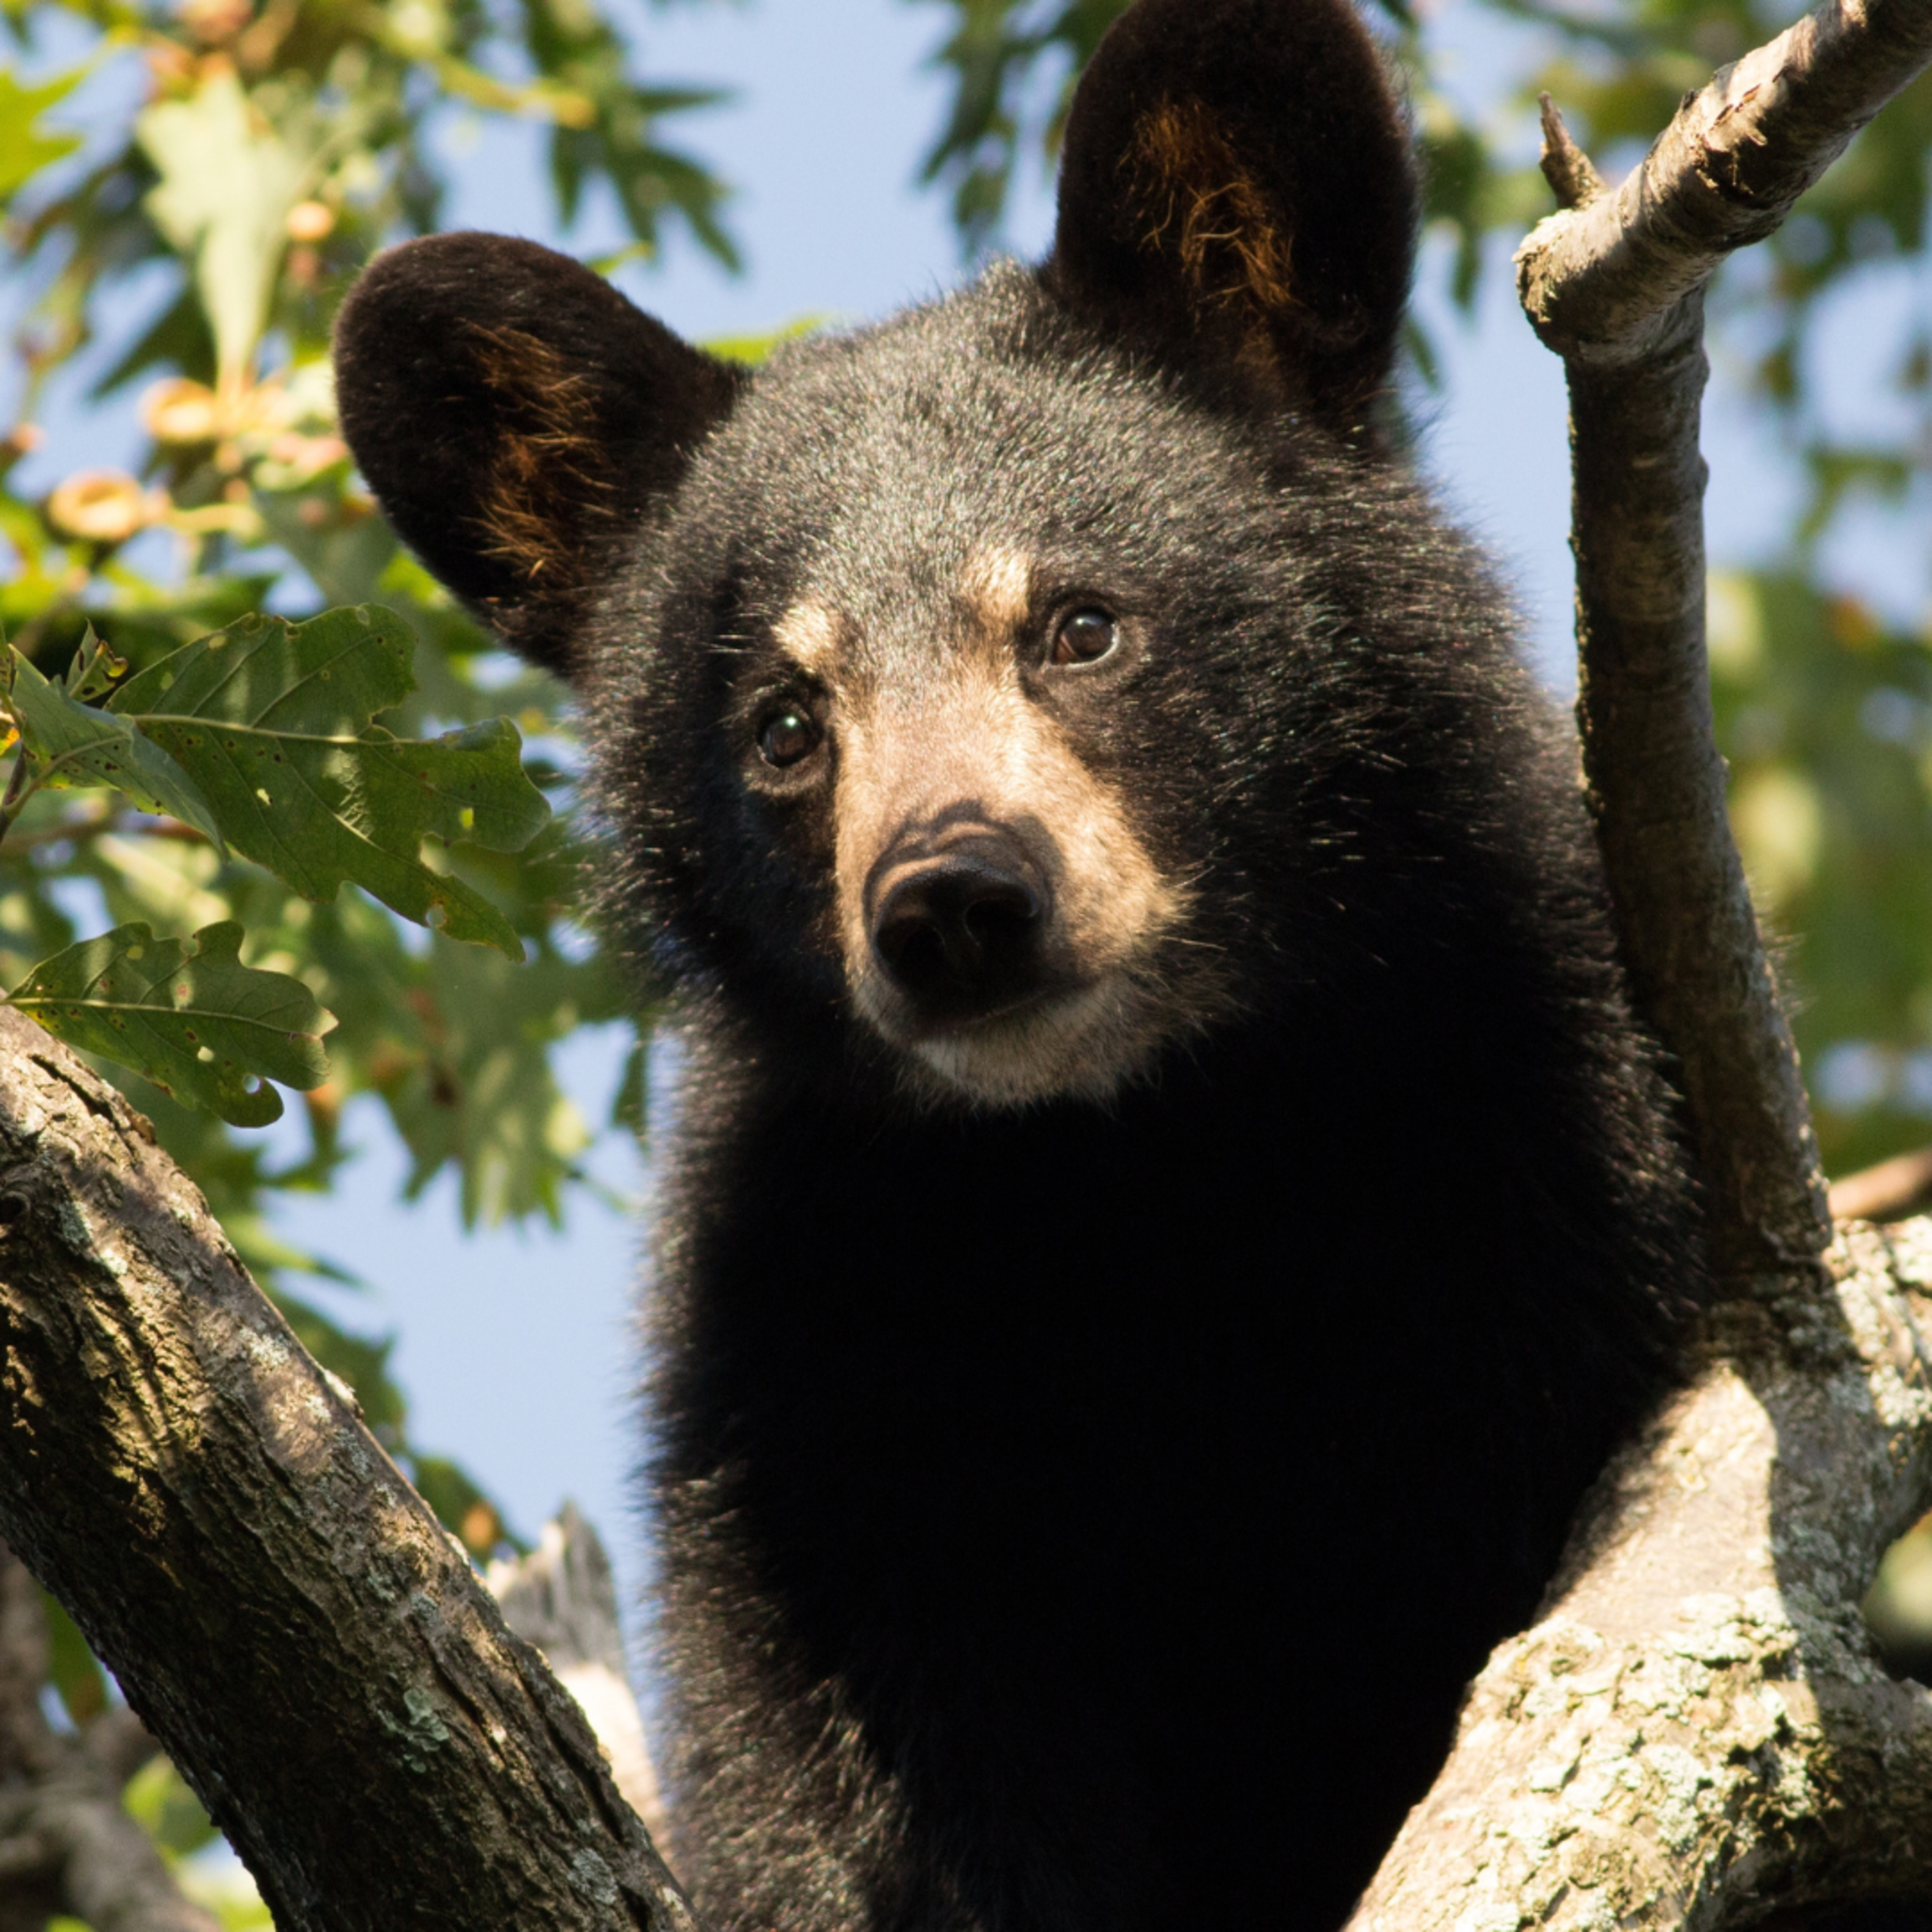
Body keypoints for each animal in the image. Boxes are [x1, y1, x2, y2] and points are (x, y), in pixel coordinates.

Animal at [330, 0, 1708, 1925]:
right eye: (783, 726)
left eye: (1077, 624)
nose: (954, 906)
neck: (1135, 1161)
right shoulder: (808, 1372)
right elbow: (844, 1782)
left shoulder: (1546, 1175)